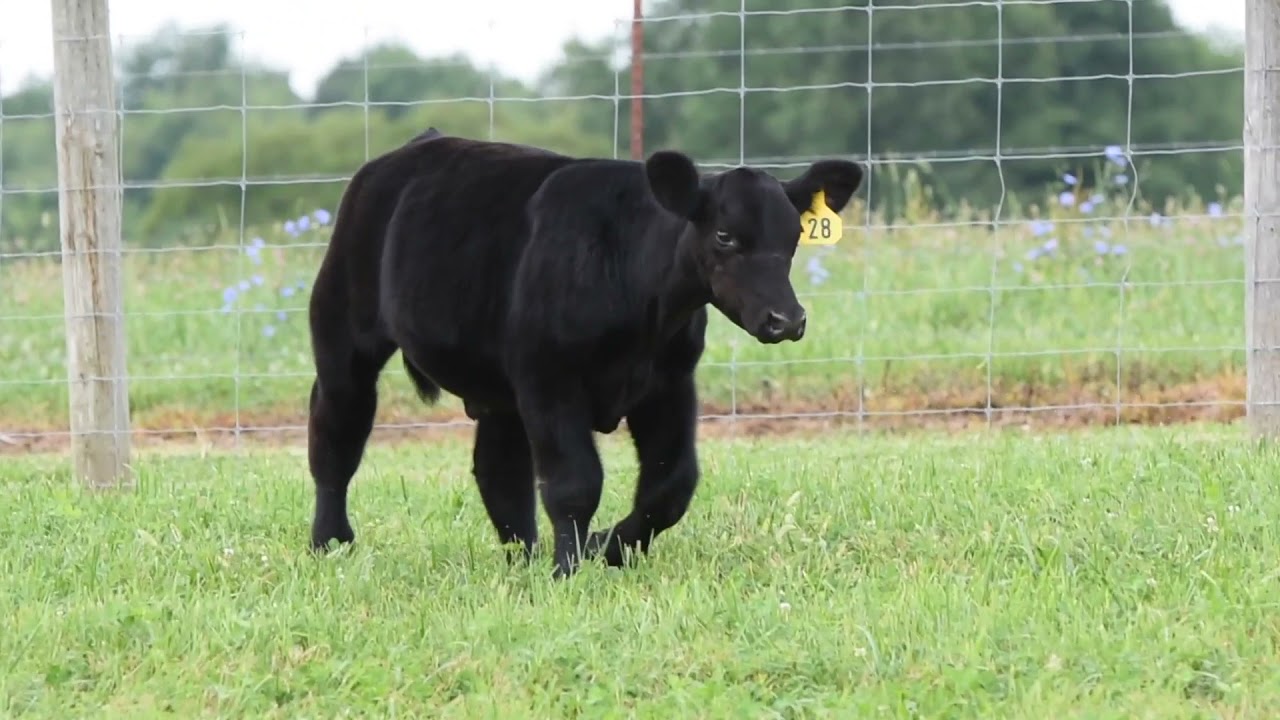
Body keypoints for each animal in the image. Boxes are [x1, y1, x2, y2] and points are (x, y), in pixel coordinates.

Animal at [305, 127, 866, 577]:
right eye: (725, 236)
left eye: (793, 237)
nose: (786, 319)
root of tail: (416, 146)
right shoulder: (549, 379)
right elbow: (575, 482)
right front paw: (568, 569)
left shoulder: (668, 384)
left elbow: (671, 484)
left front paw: (606, 548)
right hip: (343, 337)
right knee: (336, 436)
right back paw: (329, 542)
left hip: (499, 390)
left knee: (498, 470)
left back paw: (524, 558)